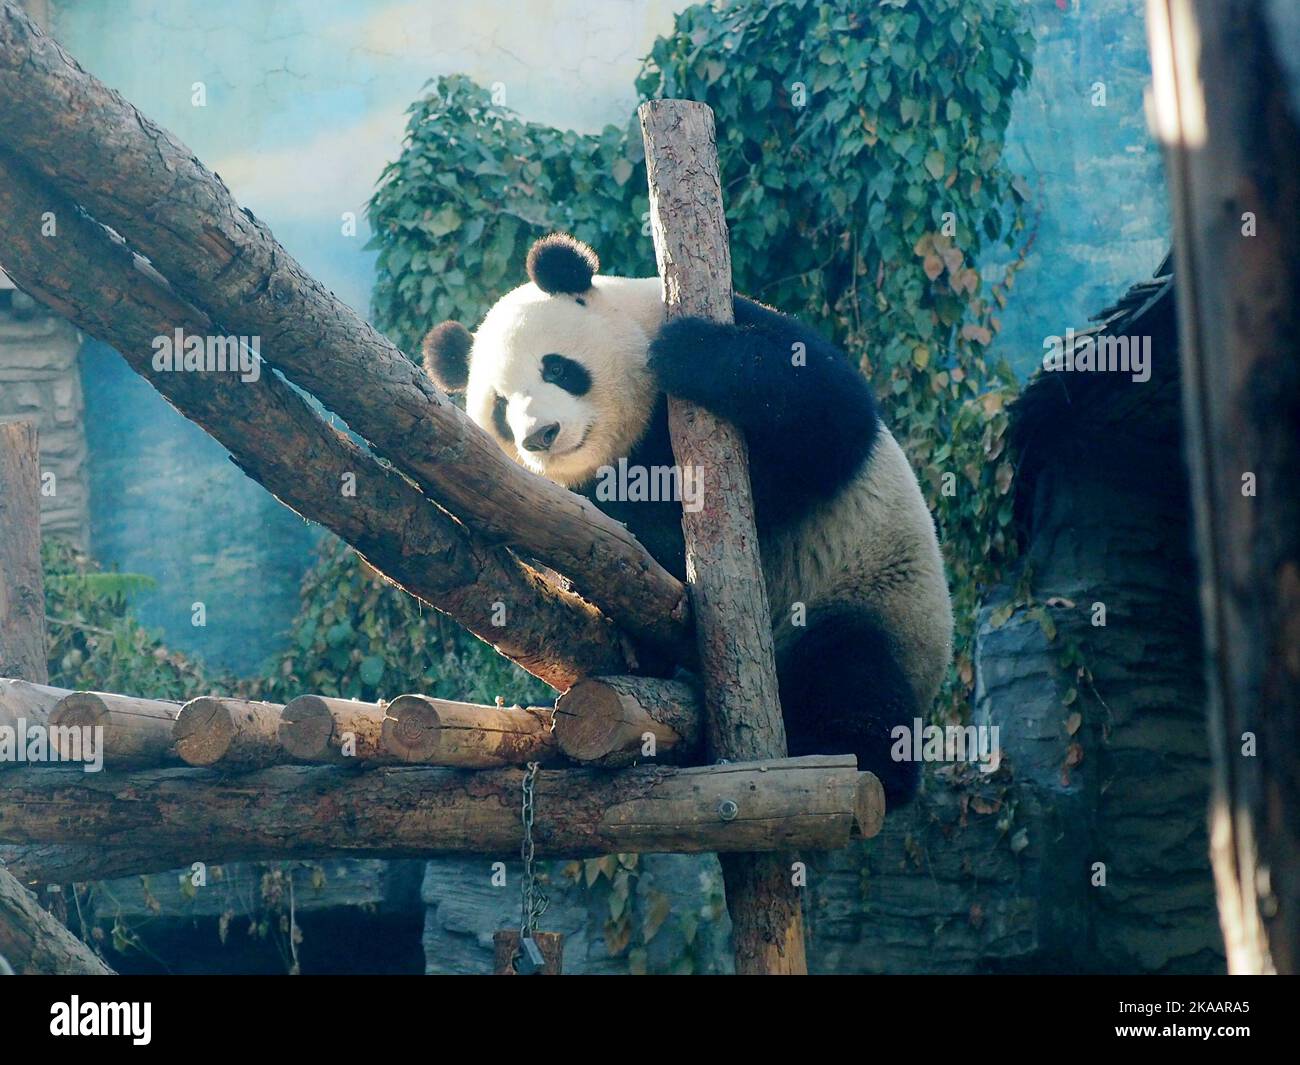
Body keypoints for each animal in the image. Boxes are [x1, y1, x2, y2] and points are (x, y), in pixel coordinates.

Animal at [423, 233, 953, 805]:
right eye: (501, 407)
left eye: (557, 368)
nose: (539, 435)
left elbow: (828, 420)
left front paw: (688, 353)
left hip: (875, 596)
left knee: (850, 668)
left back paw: (846, 749)